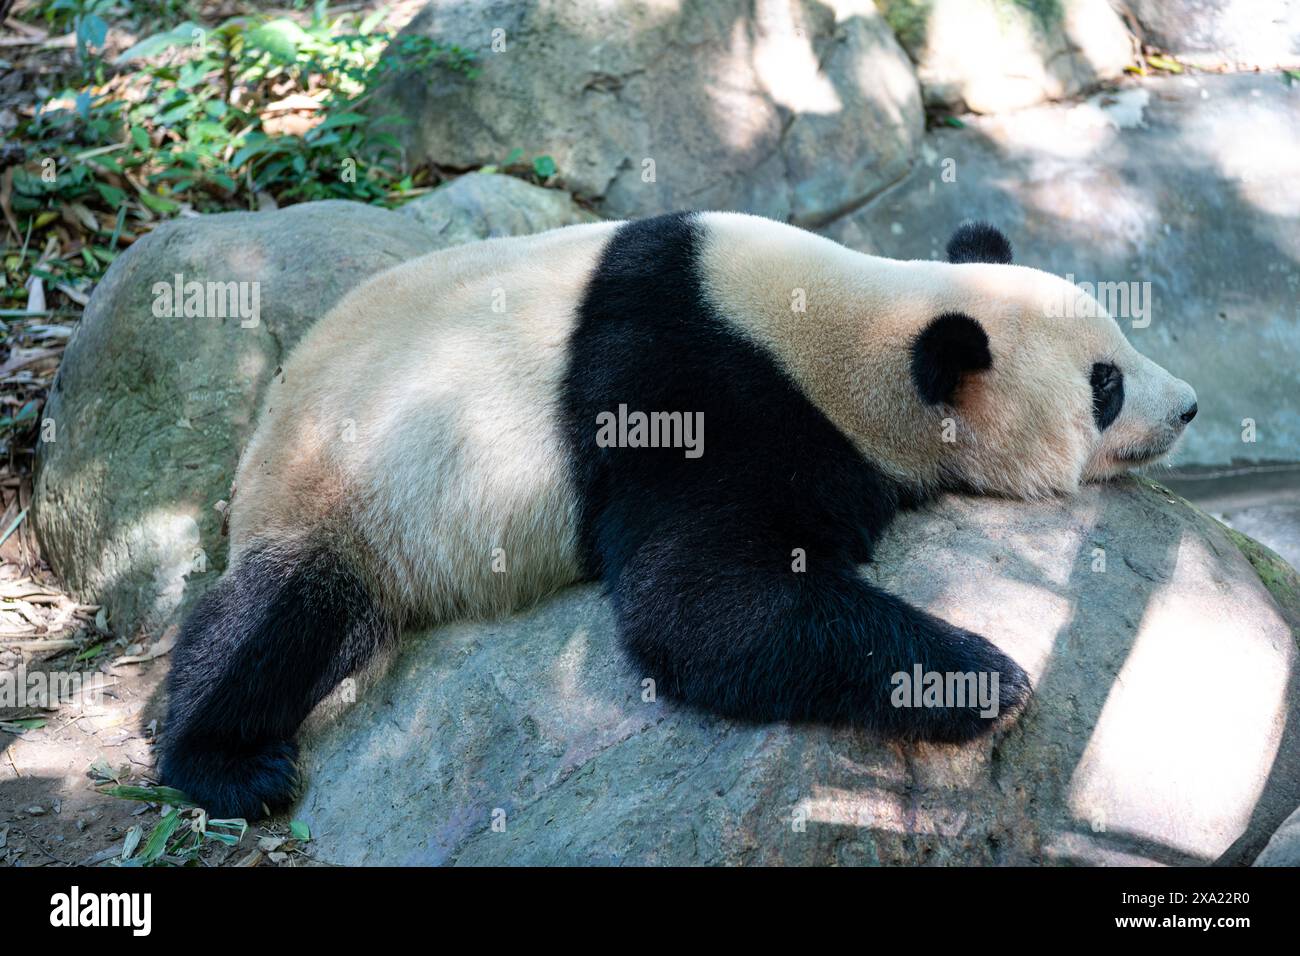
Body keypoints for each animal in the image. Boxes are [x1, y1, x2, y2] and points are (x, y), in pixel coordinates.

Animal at [160, 212, 1198, 819]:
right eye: (1105, 384)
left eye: (1120, 344)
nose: (1187, 406)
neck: (849, 321)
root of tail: (261, 437)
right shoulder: (690, 388)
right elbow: (701, 600)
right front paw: (982, 677)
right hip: (347, 491)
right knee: (276, 619)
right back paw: (226, 765)